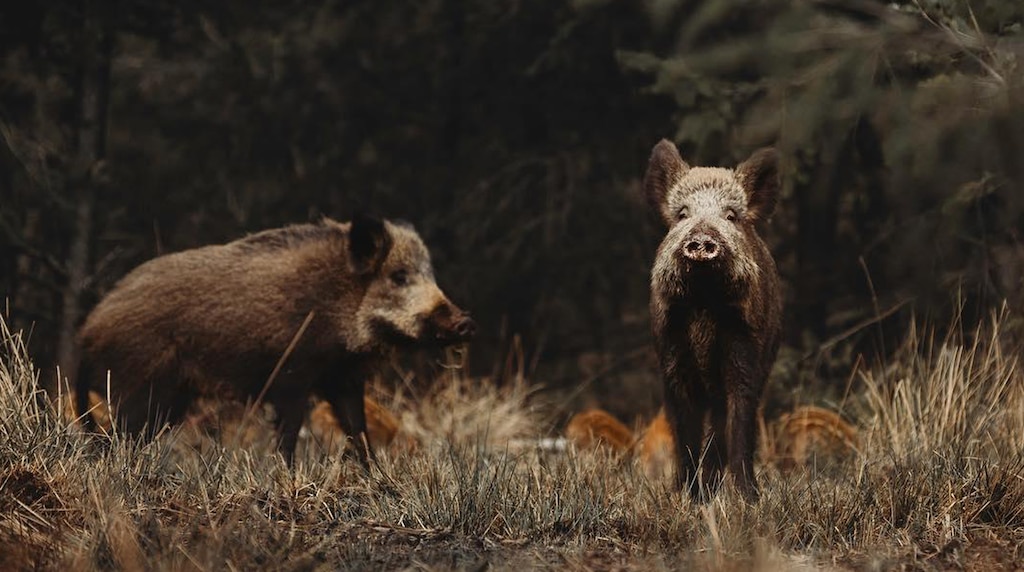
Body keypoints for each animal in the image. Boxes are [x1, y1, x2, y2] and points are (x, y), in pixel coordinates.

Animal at [75, 214, 475, 465]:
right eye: (399, 276)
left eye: (429, 272)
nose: (466, 322)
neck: (335, 304)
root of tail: (89, 328)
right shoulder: (290, 377)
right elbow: (288, 436)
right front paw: (288, 476)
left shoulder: (341, 378)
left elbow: (358, 431)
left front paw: (375, 477)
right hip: (142, 388)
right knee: (113, 436)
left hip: (171, 400)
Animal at [643, 139, 783, 501]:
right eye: (682, 214)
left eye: (731, 216)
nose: (702, 238)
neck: (704, 303)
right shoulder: (672, 360)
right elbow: (684, 431)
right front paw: (687, 497)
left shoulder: (745, 352)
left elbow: (740, 422)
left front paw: (748, 499)